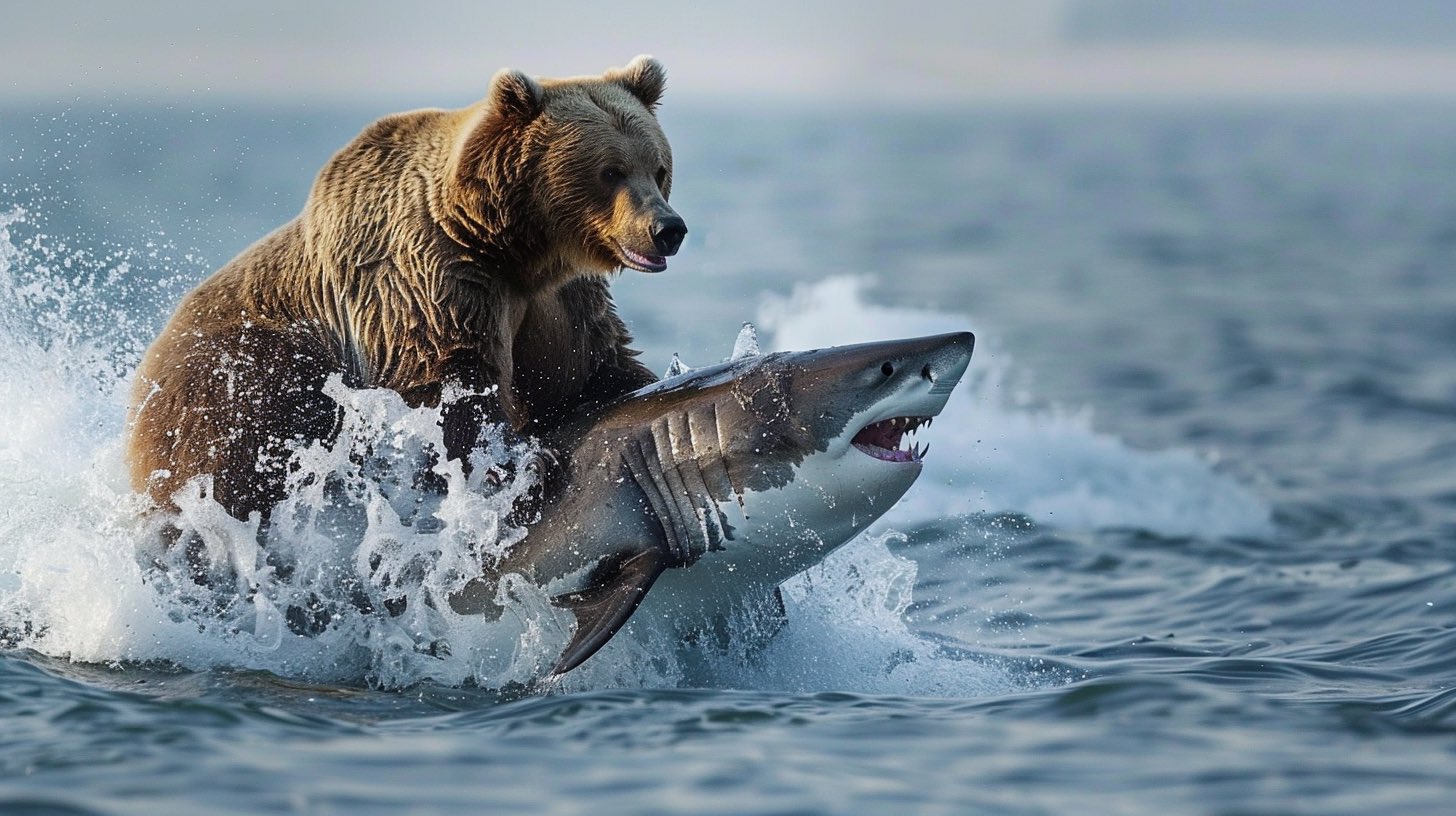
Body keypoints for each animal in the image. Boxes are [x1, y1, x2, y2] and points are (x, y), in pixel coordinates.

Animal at [126, 56, 687, 522]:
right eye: (610, 171)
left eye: (658, 167)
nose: (668, 228)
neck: (510, 245)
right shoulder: (430, 283)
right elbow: (450, 395)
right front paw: (523, 461)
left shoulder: (557, 300)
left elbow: (589, 365)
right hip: (237, 389)